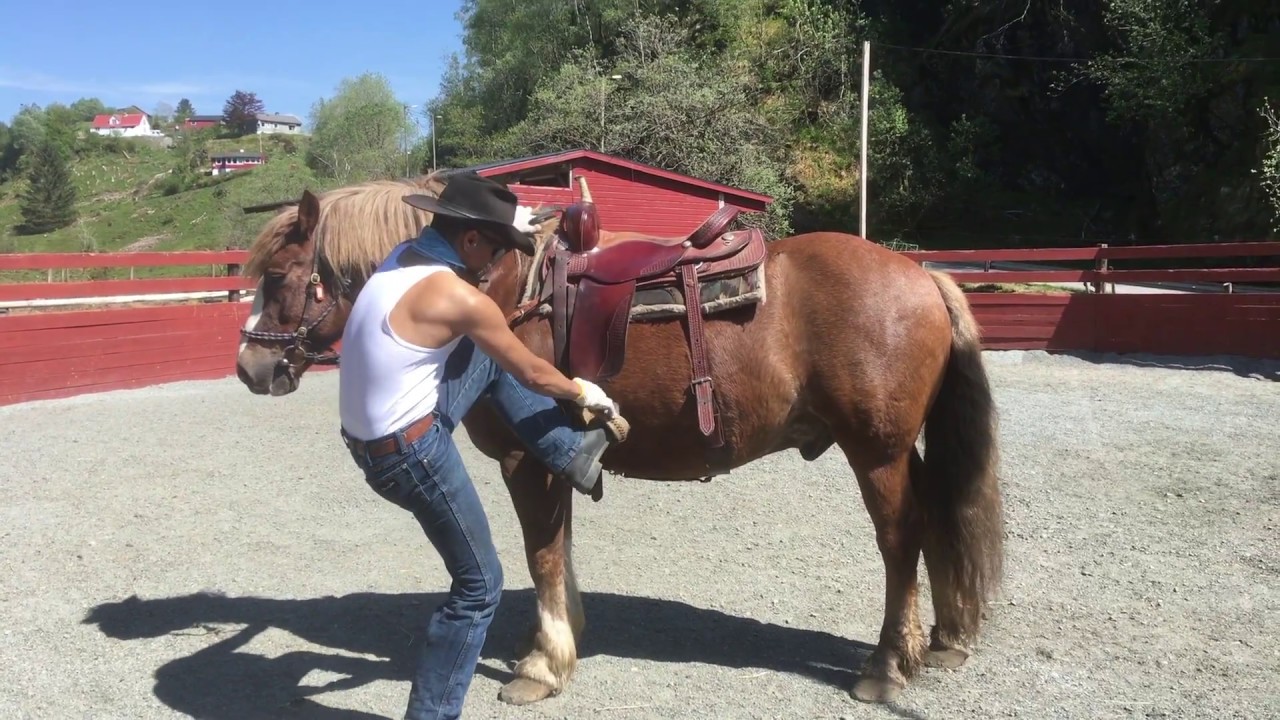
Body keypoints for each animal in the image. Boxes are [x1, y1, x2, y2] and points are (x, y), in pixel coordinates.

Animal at [233, 171, 1006, 706]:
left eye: (279, 276)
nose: (249, 367)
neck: (502, 291)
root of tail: (922, 274)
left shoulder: (525, 461)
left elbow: (543, 554)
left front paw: (542, 665)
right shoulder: (553, 459)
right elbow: (560, 548)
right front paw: (557, 638)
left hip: (875, 453)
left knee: (901, 539)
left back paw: (886, 666)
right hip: (899, 450)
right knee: (937, 519)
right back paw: (940, 640)